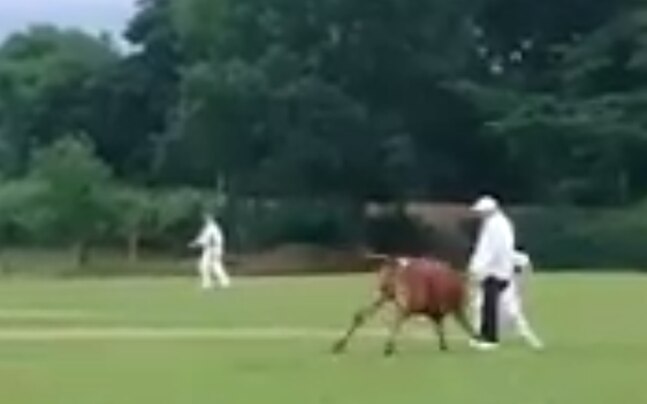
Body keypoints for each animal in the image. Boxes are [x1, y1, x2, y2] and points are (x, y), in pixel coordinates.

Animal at [332, 255, 477, 356]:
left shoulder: (436, 310)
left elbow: (440, 326)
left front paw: (444, 344)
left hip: (384, 294)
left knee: (360, 315)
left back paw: (339, 345)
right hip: (399, 298)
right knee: (395, 317)